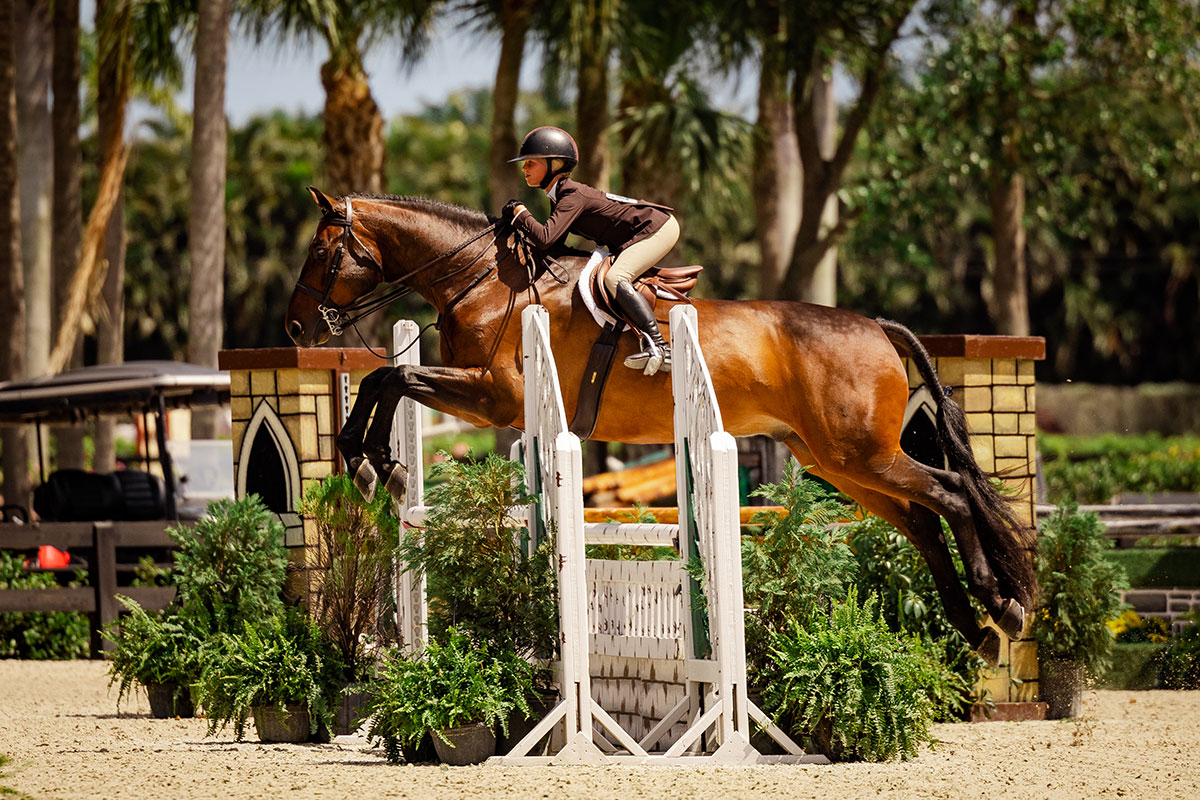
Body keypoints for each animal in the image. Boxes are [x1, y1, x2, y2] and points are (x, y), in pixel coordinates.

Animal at [285, 187, 1036, 667]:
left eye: (321, 252)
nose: (294, 329)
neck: (485, 280)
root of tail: (875, 325)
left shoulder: (495, 398)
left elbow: (389, 379)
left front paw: (369, 463)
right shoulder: (491, 399)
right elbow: (384, 380)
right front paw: (378, 465)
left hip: (863, 454)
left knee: (949, 495)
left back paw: (1006, 605)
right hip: (836, 462)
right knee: (921, 521)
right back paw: (977, 629)